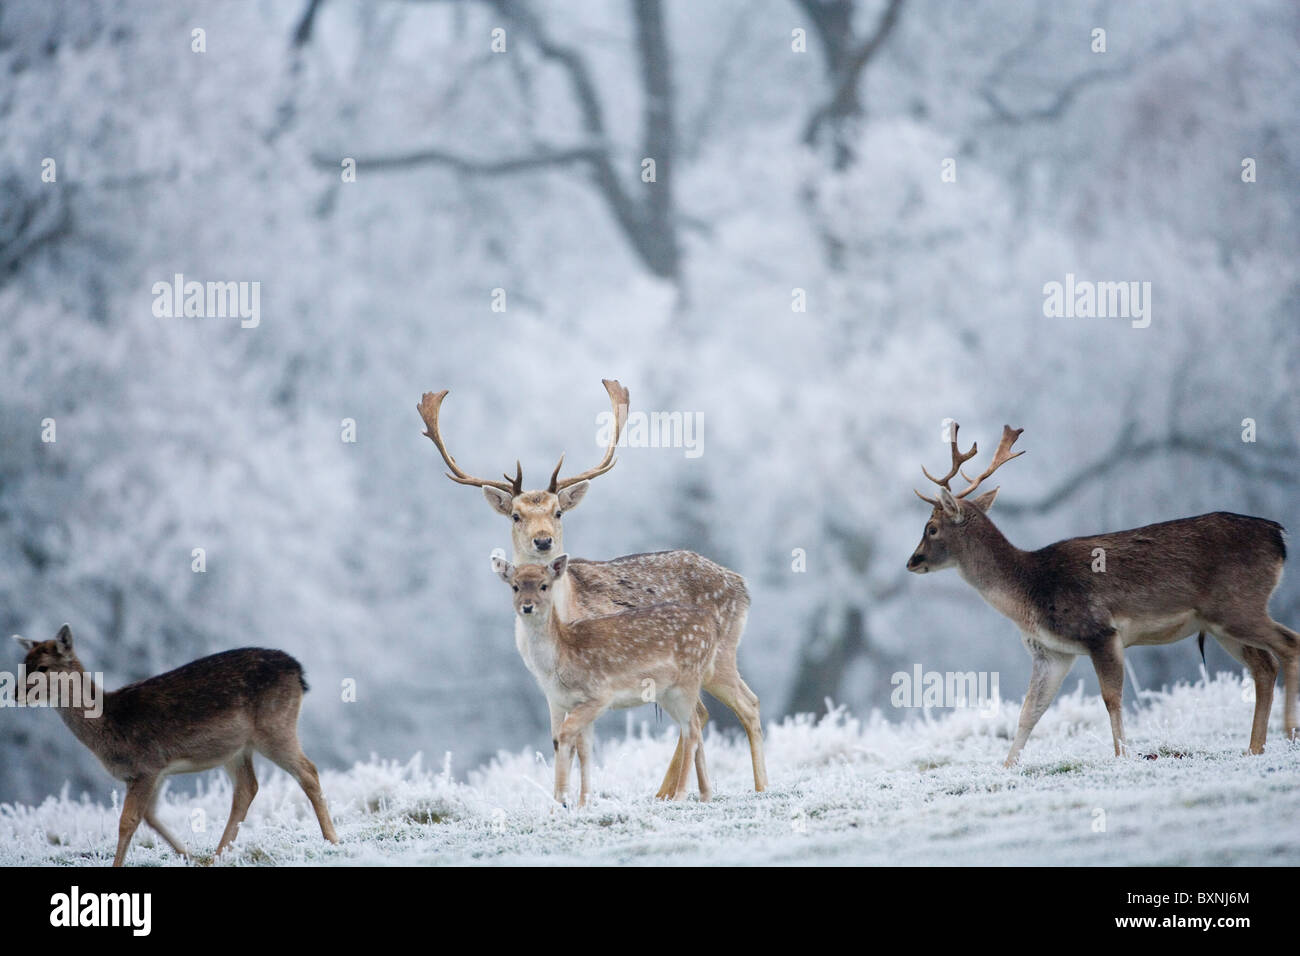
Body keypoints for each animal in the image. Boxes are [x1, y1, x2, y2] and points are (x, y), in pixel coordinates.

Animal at [14, 624, 339, 866]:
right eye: (23, 665)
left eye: (42, 667)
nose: (15, 694)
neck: (110, 728)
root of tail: (298, 671)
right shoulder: (155, 771)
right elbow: (149, 816)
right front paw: (189, 856)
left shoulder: (146, 765)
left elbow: (128, 820)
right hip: (236, 748)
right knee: (248, 787)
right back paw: (218, 855)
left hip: (275, 727)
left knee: (308, 771)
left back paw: (331, 840)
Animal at [492, 553, 717, 805]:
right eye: (515, 586)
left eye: (544, 585)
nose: (528, 606)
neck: (559, 660)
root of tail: (712, 626)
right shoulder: (564, 701)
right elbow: (581, 748)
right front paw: (581, 803)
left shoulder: (599, 694)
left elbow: (564, 736)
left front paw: (563, 801)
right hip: (667, 693)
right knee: (694, 724)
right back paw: (705, 794)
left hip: (687, 680)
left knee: (692, 730)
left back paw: (680, 795)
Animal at [907, 423, 1299, 767]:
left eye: (932, 528)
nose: (912, 561)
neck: (1030, 592)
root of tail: (1278, 536)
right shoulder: (1052, 653)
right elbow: (1029, 712)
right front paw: (1005, 767)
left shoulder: (1100, 631)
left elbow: (1111, 698)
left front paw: (1121, 756)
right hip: (1221, 622)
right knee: (1264, 665)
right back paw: (1255, 748)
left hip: (1237, 605)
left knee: (1289, 643)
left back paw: (1289, 734)